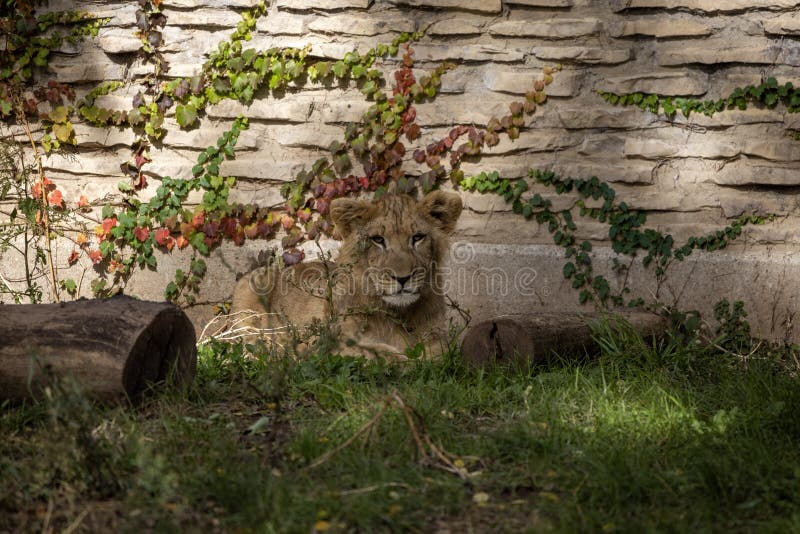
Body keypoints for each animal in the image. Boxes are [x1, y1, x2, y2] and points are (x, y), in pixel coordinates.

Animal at [229, 190, 463, 359]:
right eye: (378, 240)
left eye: (417, 237)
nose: (403, 278)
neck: (398, 313)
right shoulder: (333, 342)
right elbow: (383, 355)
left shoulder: (438, 340)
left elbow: (435, 357)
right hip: (251, 283)